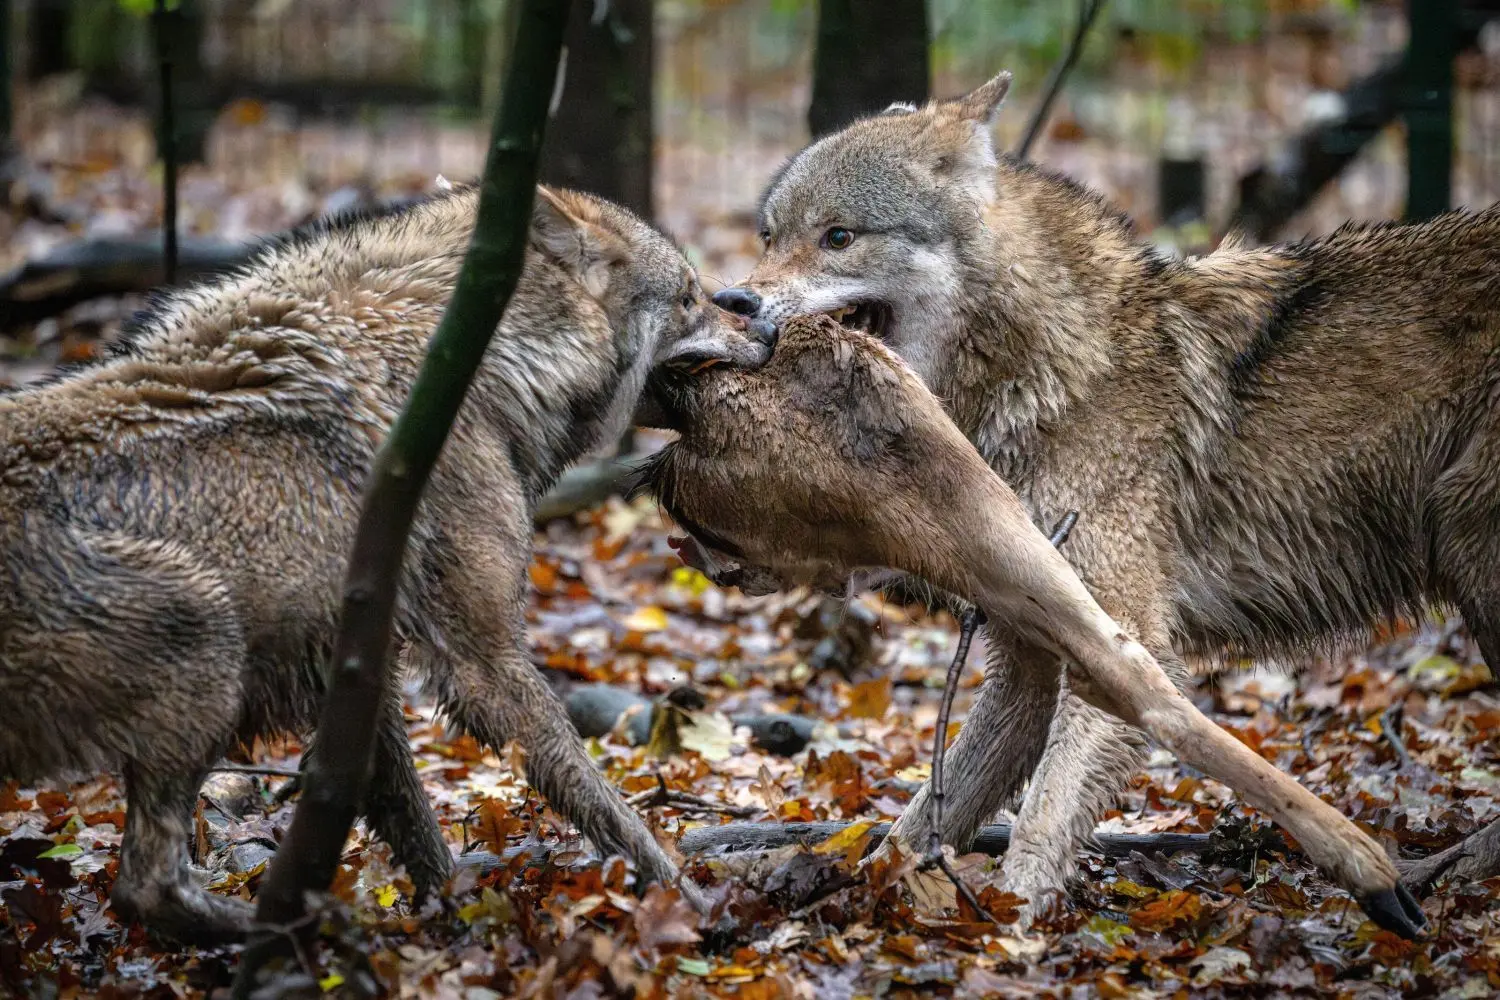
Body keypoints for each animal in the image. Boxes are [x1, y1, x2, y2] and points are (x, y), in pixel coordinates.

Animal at [0, 184, 777, 944]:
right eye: (689, 296)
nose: (765, 326)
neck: (480, 365)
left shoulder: (351, 673)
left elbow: (410, 821)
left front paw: (452, 923)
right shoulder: (481, 658)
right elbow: (603, 801)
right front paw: (687, 905)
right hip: (202, 633)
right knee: (144, 886)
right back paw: (313, 935)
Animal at [711, 72, 1500, 914]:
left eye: (838, 237)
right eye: (768, 236)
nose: (733, 300)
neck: (1054, 375)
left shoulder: (1123, 644)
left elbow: (1042, 817)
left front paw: (1014, 924)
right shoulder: (1026, 663)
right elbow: (922, 819)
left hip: (1468, 544)